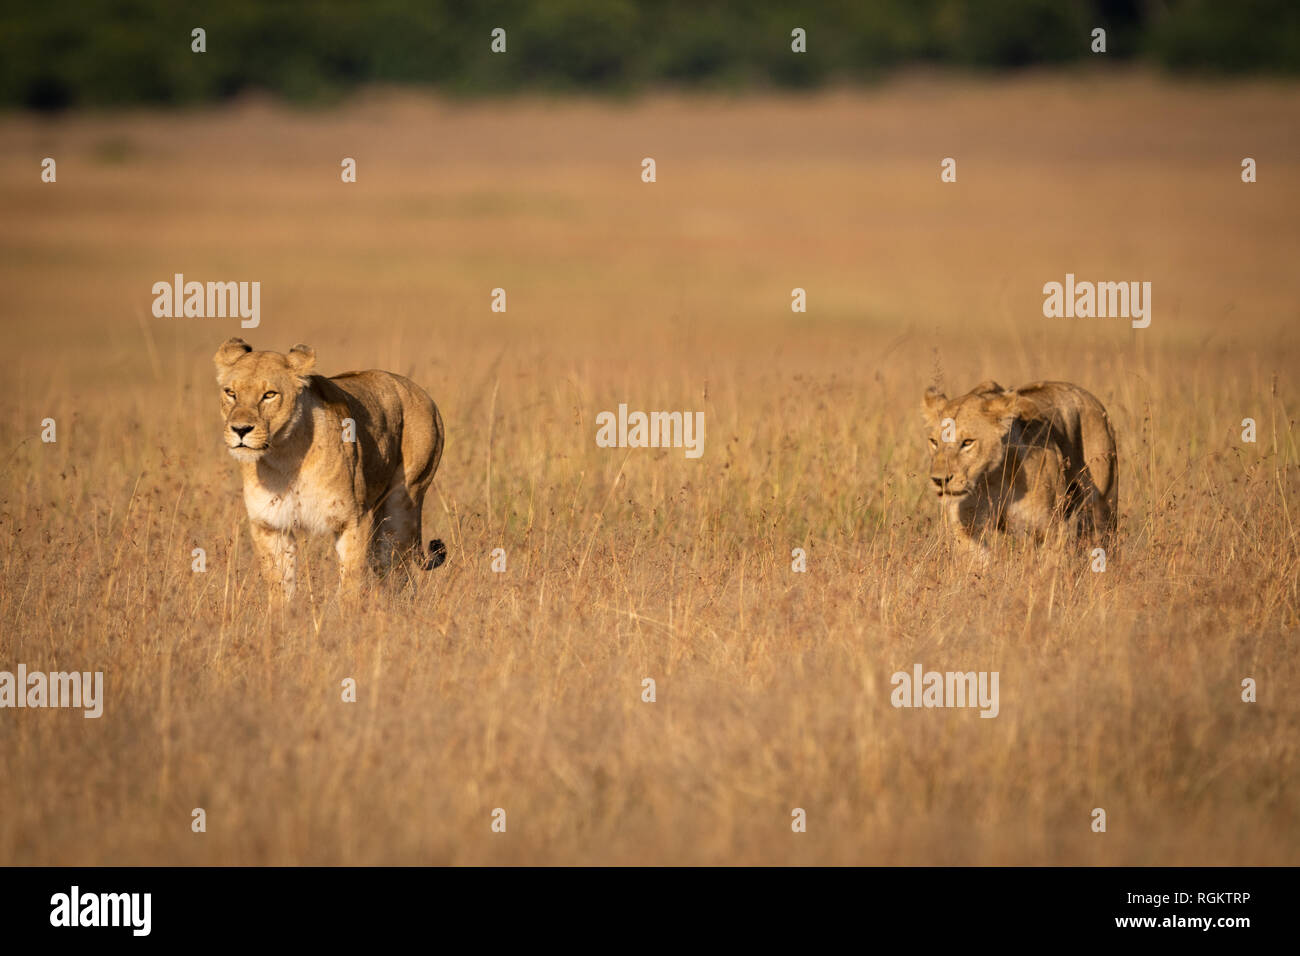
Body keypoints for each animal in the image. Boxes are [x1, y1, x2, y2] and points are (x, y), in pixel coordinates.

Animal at [214, 337, 446, 600]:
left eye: (269, 394)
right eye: (231, 393)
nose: (240, 429)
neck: (285, 457)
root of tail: (419, 391)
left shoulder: (352, 520)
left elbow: (350, 586)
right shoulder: (270, 526)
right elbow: (280, 589)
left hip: (403, 501)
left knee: (395, 568)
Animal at [921, 379, 1118, 558]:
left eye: (968, 442)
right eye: (934, 441)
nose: (939, 480)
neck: (992, 477)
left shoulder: (1052, 528)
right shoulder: (967, 529)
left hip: (1101, 507)